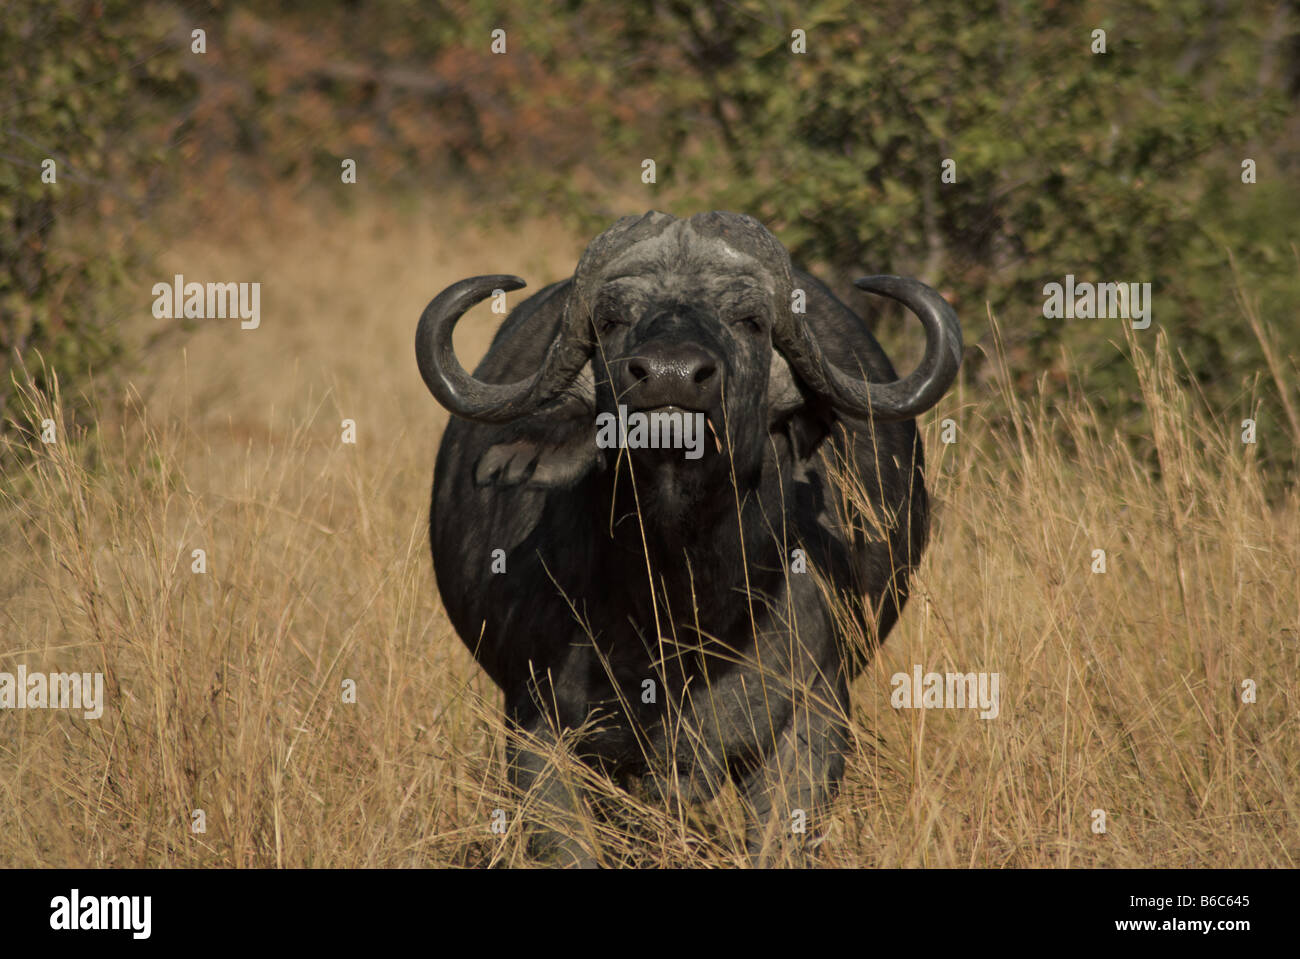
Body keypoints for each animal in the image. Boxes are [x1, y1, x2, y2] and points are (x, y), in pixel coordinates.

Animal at [417, 211, 961, 866]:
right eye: (611, 320)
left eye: (750, 320)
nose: (670, 377)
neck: (676, 606)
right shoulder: (537, 729)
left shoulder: (812, 723)